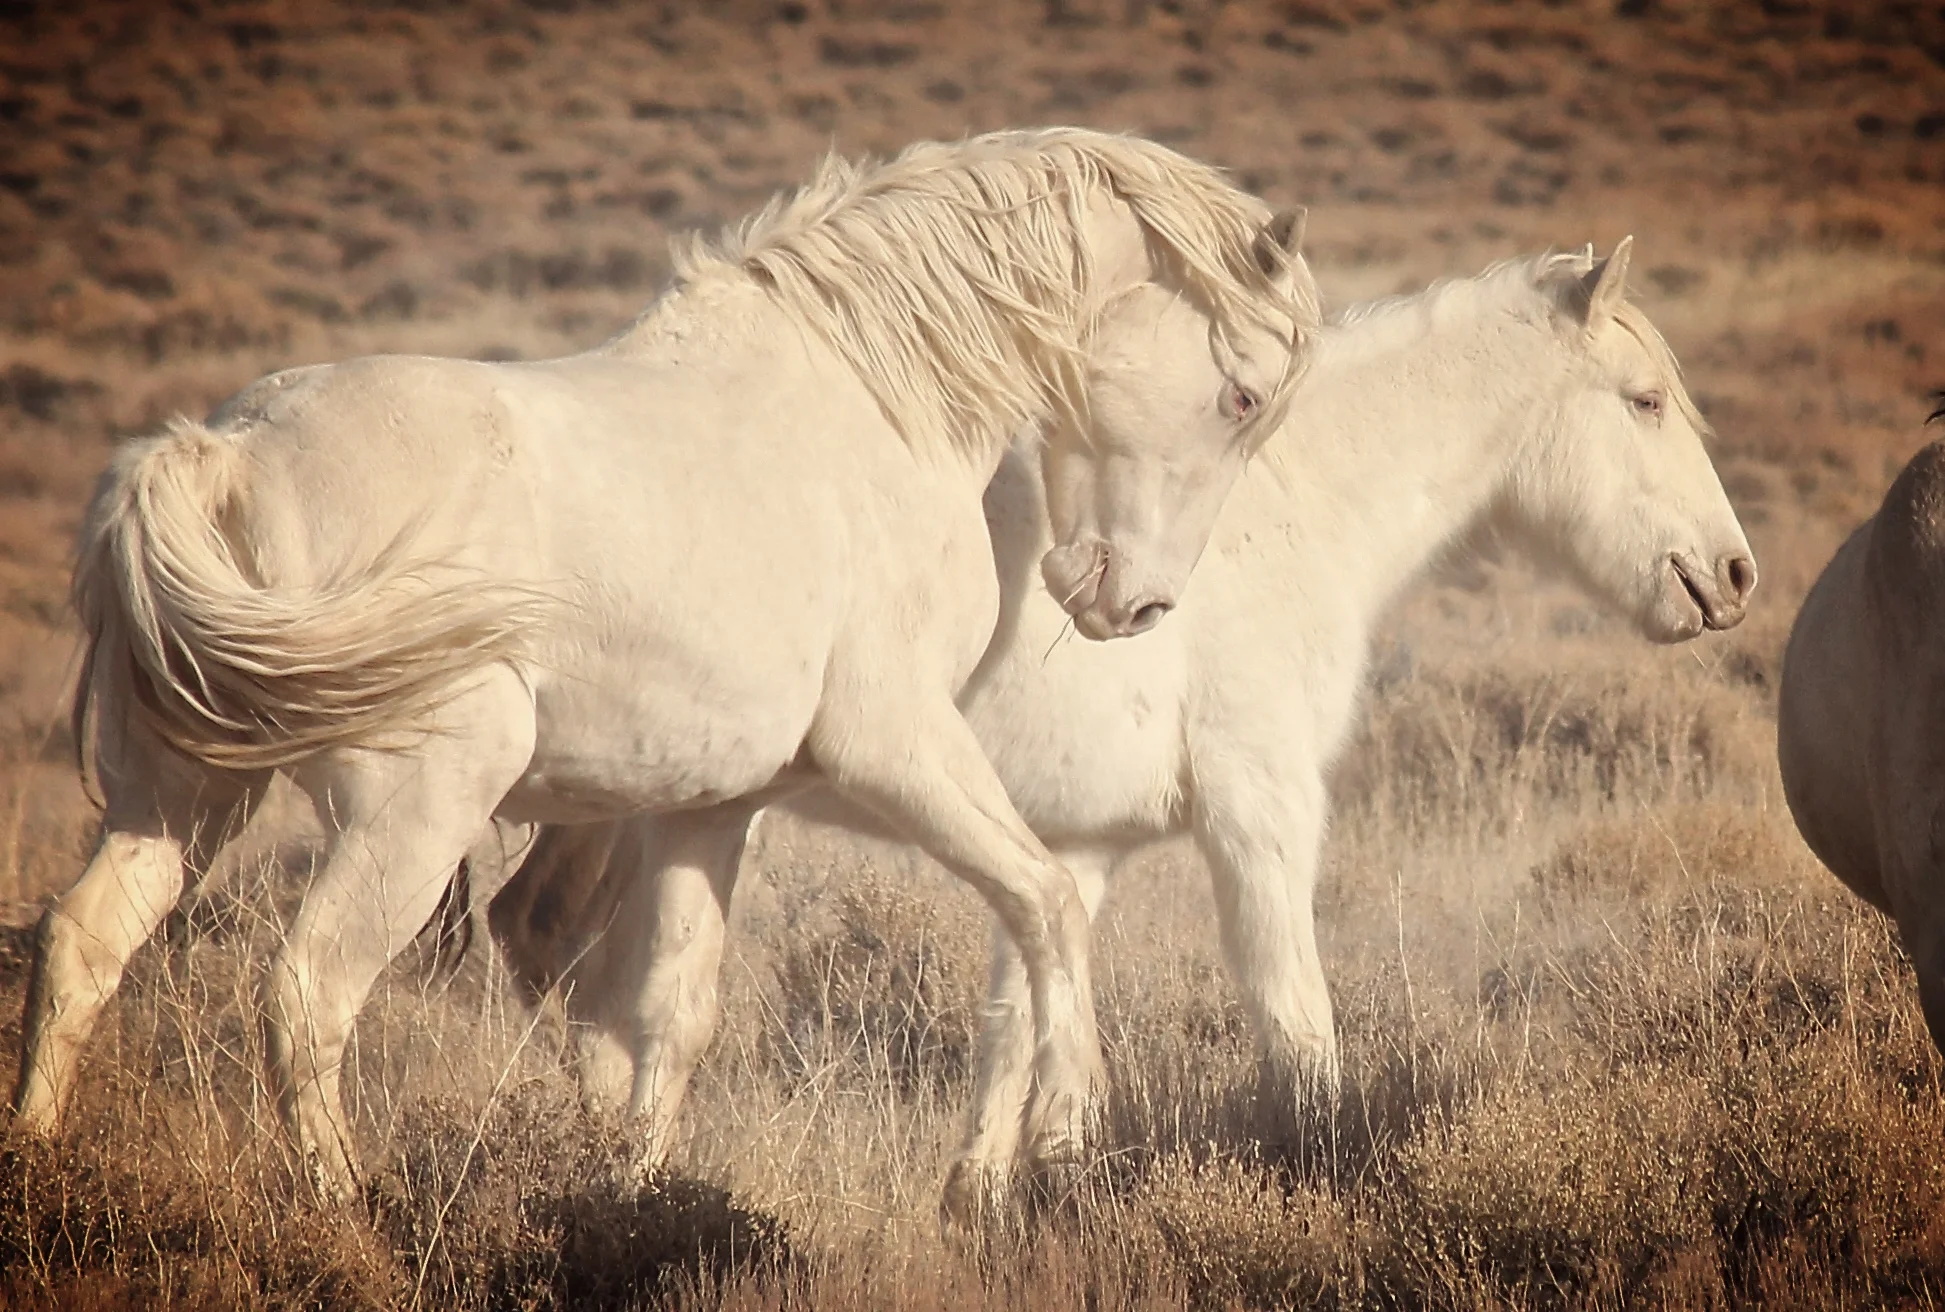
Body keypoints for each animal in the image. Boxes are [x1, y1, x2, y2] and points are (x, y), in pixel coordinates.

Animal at [11, 127, 1318, 1202]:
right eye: (1240, 395)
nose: (1130, 600)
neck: (873, 399)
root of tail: (224, 453)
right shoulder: (897, 743)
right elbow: (1047, 903)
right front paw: (1058, 1133)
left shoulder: (711, 806)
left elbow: (673, 1014)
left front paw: (631, 1190)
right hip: (413, 808)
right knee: (310, 987)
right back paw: (343, 1207)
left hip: (182, 797)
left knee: (85, 943)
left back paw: (35, 1162)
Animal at [469, 239, 1758, 1219]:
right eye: (1645, 402)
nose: (1733, 574)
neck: (1287, 516)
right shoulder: (1259, 820)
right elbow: (1294, 1027)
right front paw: (1322, 1182)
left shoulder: (1074, 851)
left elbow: (1013, 1025)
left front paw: (985, 1200)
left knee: (544, 935)